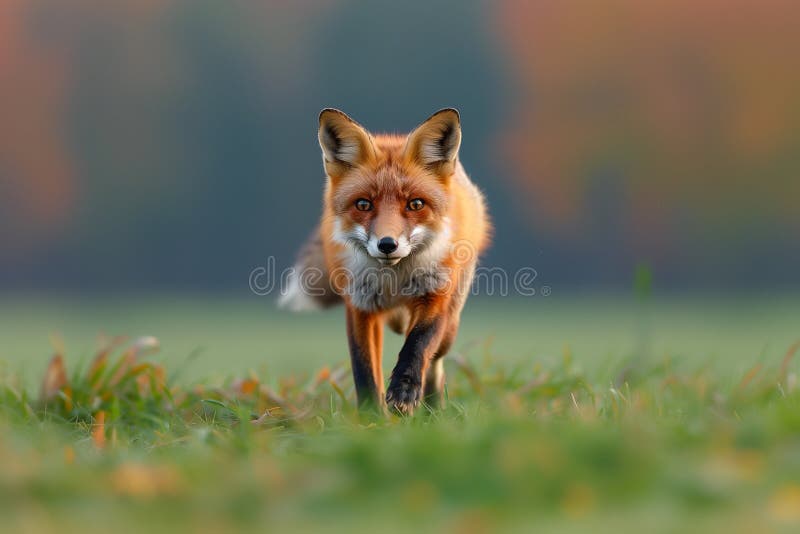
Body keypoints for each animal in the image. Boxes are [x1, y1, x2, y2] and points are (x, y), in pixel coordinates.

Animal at [280, 108, 490, 415]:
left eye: (416, 204)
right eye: (363, 204)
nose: (387, 244)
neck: (394, 278)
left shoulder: (435, 297)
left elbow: (418, 345)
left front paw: (404, 391)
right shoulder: (359, 306)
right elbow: (364, 370)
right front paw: (371, 417)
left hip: (451, 322)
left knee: (435, 362)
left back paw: (432, 409)